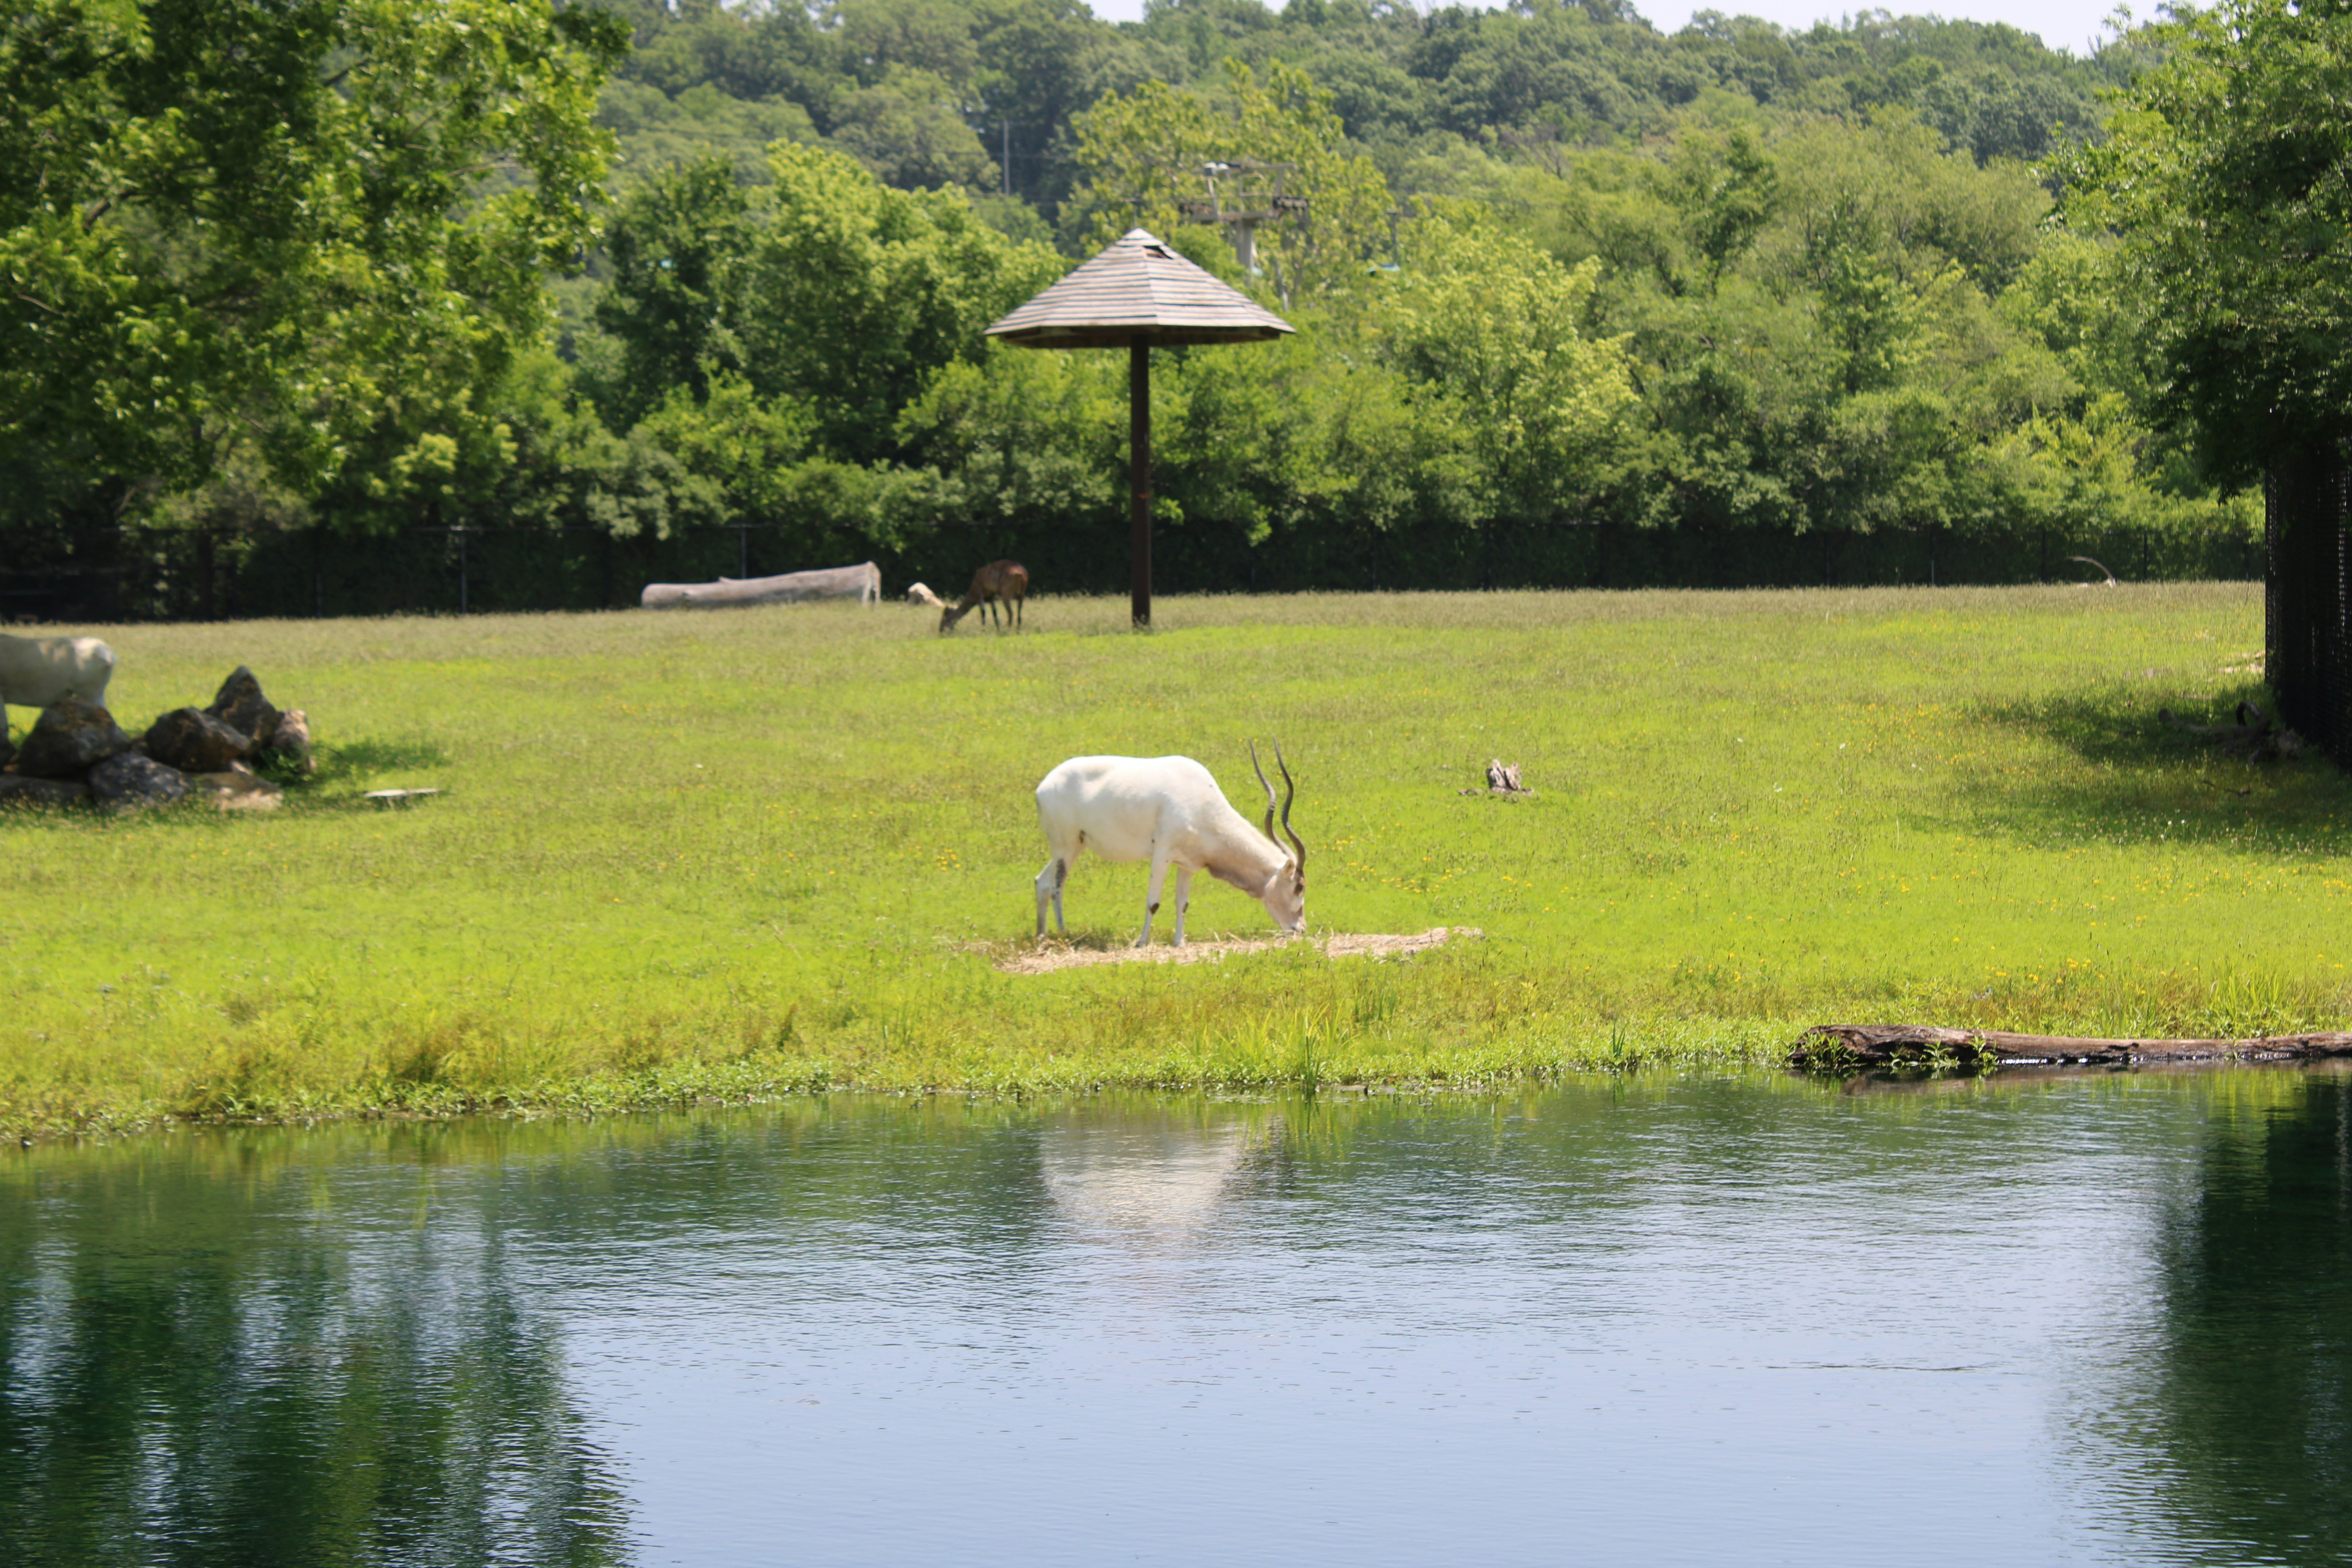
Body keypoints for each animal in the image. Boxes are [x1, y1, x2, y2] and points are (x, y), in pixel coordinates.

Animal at [941, 560, 1028, 633]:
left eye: (944, 620)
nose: (941, 630)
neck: (973, 593)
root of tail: (1021, 574)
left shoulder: (980, 596)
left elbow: (983, 613)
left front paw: (983, 631)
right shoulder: (991, 597)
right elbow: (995, 613)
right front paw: (998, 630)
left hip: (1006, 592)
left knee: (1011, 612)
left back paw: (1008, 629)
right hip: (1022, 593)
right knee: (1019, 611)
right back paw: (1018, 630)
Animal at [1034, 744, 1306, 947]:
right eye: (1299, 887)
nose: (1301, 929)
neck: (1202, 800)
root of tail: (1043, 787)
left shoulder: (1187, 864)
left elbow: (1182, 904)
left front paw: (1179, 942)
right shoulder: (1162, 854)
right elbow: (1153, 902)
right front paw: (1141, 943)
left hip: (1074, 846)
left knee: (1042, 882)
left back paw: (1042, 936)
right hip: (1066, 846)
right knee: (1057, 886)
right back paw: (1064, 934)